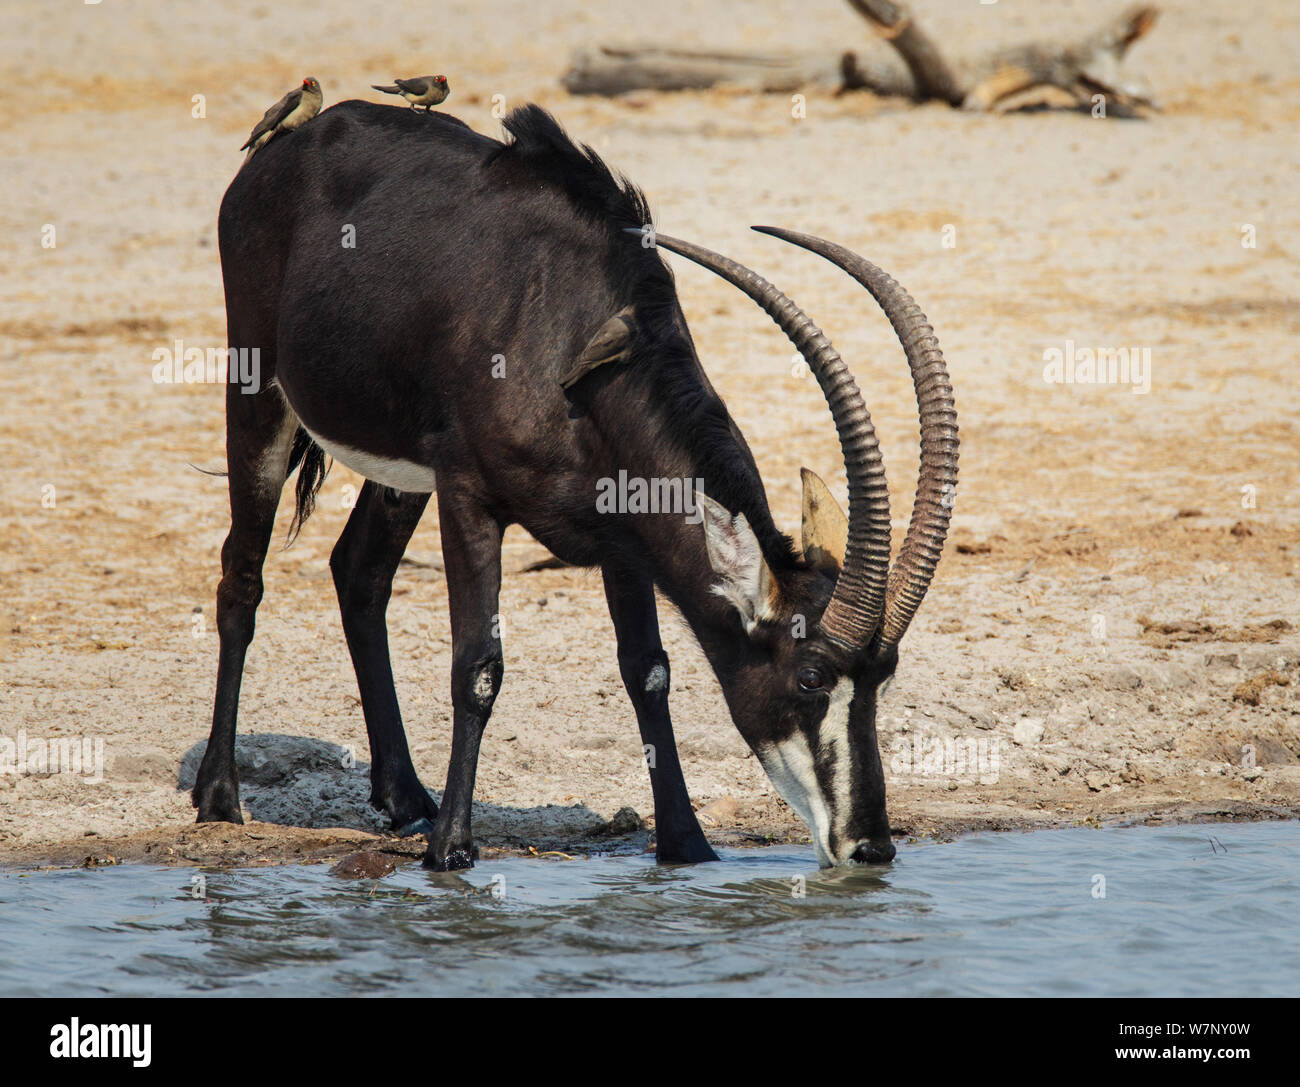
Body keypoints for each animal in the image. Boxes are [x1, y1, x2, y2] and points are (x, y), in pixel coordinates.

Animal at [195, 100, 958, 870]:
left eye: (882, 675)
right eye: (810, 676)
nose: (871, 844)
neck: (575, 352)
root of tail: (291, 142)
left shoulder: (621, 536)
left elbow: (648, 670)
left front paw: (685, 842)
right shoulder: (469, 498)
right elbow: (479, 666)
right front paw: (452, 851)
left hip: (403, 470)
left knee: (359, 570)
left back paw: (404, 796)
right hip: (257, 393)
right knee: (242, 578)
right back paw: (220, 795)